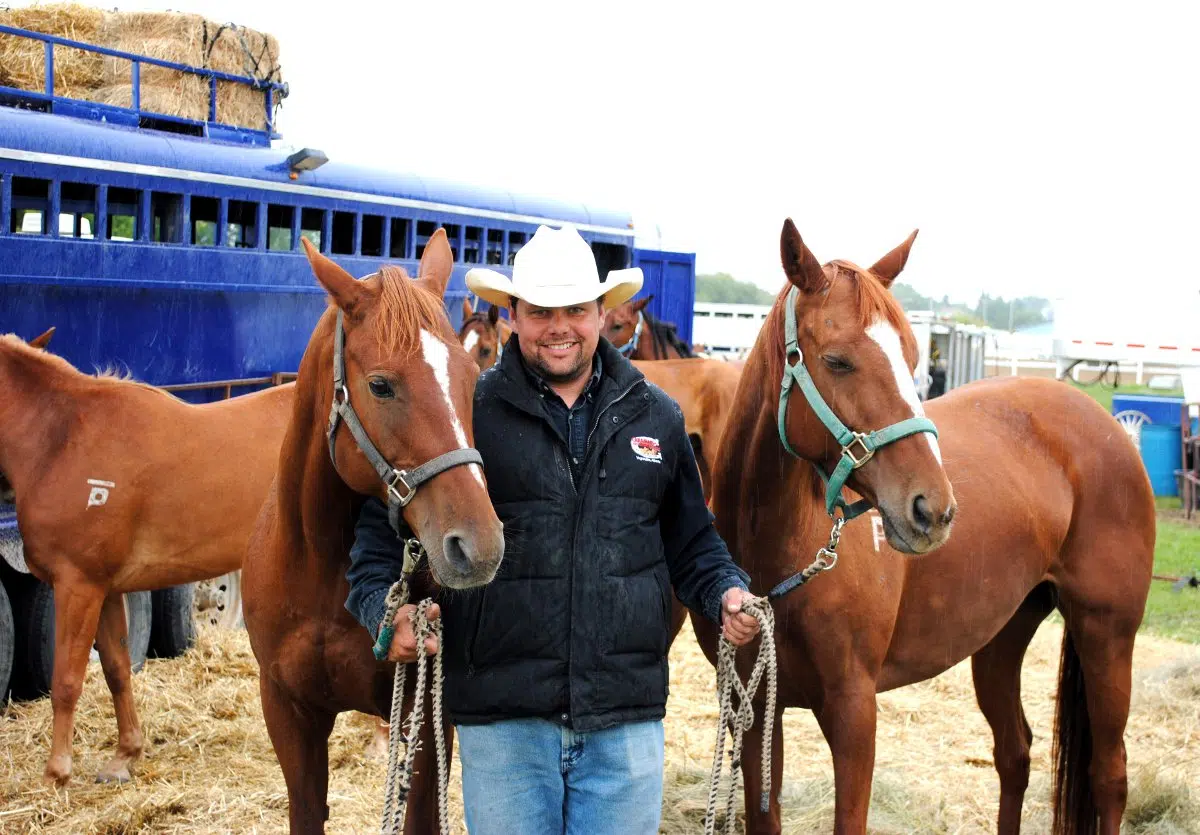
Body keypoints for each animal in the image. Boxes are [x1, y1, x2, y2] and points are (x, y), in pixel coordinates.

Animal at [0, 329, 295, 786]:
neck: (60, 438)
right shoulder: (104, 589)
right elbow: (116, 670)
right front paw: (125, 755)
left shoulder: (76, 585)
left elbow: (65, 680)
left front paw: (56, 772)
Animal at [242, 230, 504, 835]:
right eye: (381, 386)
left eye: (470, 377)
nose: (478, 546)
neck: (317, 566)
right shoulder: (287, 709)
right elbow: (307, 810)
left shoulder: (425, 715)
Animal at [690, 219, 1155, 835]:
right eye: (837, 361)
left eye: (913, 357)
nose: (932, 510)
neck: (778, 558)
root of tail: (1107, 428)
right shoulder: (756, 707)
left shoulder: (854, 710)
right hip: (1002, 636)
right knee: (1015, 754)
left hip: (1107, 633)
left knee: (1109, 775)